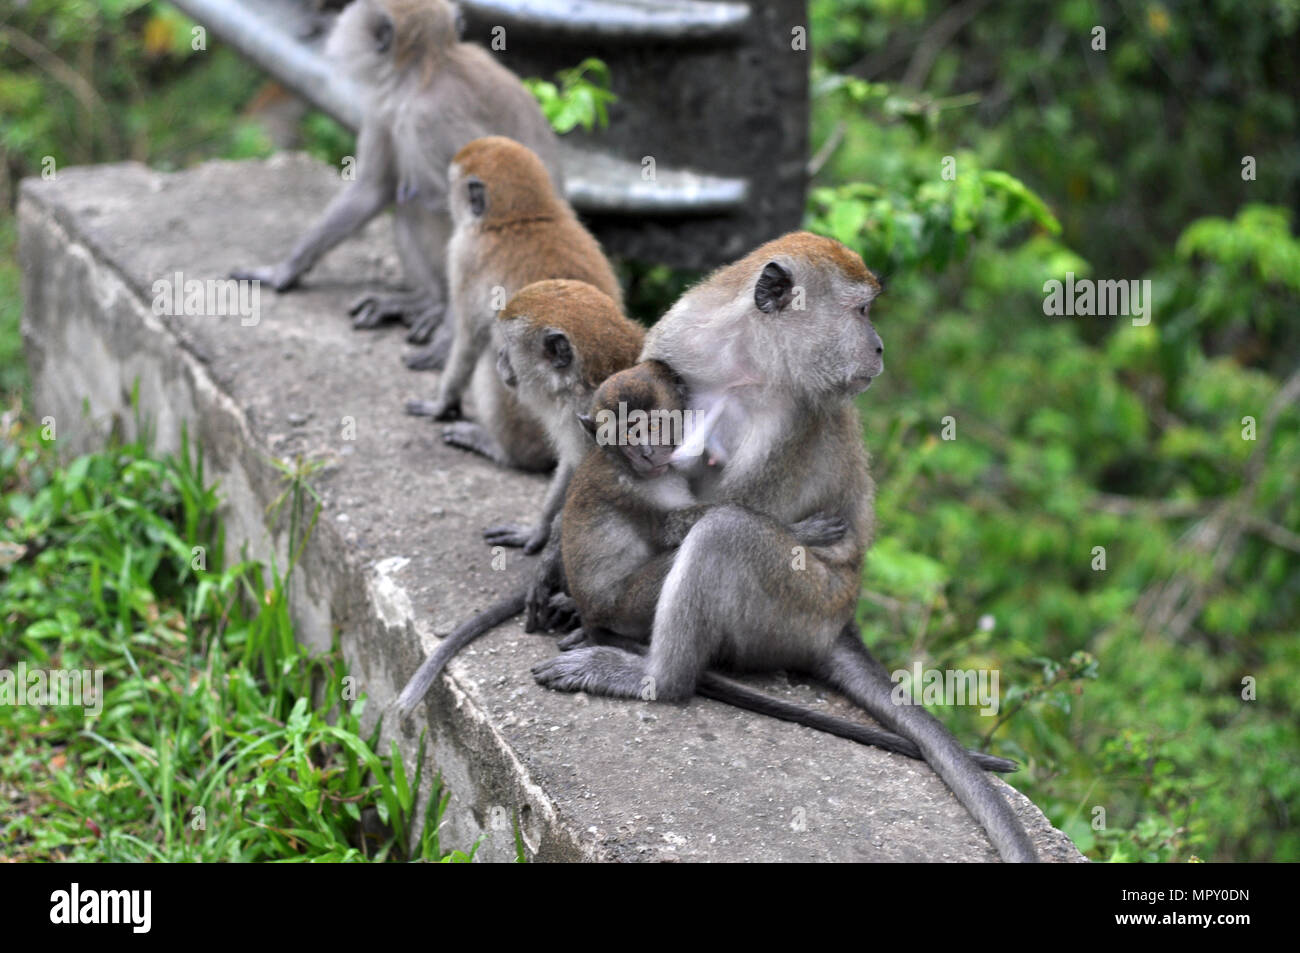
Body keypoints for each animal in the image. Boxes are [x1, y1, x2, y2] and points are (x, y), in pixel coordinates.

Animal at [231, 0, 561, 347]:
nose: (340, 20)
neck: (429, 68)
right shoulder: (385, 110)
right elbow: (373, 189)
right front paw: (284, 270)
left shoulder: (426, 118)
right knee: (405, 204)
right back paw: (427, 300)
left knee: (418, 203)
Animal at [395, 357, 1017, 775]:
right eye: (629, 435)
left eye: (652, 426)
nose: (649, 452)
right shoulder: (636, 488)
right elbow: (682, 524)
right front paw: (804, 532)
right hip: (646, 601)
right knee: (717, 535)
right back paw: (650, 674)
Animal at [402, 136, 624, 482]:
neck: (525, 215)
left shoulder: (465, 254)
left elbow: (468, 339)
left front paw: (440, 404)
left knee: (486, 363)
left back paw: (501, 449)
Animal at [531, 232, 1039, 862]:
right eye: (861, 310)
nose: (878, 347)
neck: (752, 356)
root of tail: (840, 622)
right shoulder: (681, 337)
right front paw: (553, 568)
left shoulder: (797, 415)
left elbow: (724, 510)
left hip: (798, 606)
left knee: (723, 533)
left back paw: (655, 678)